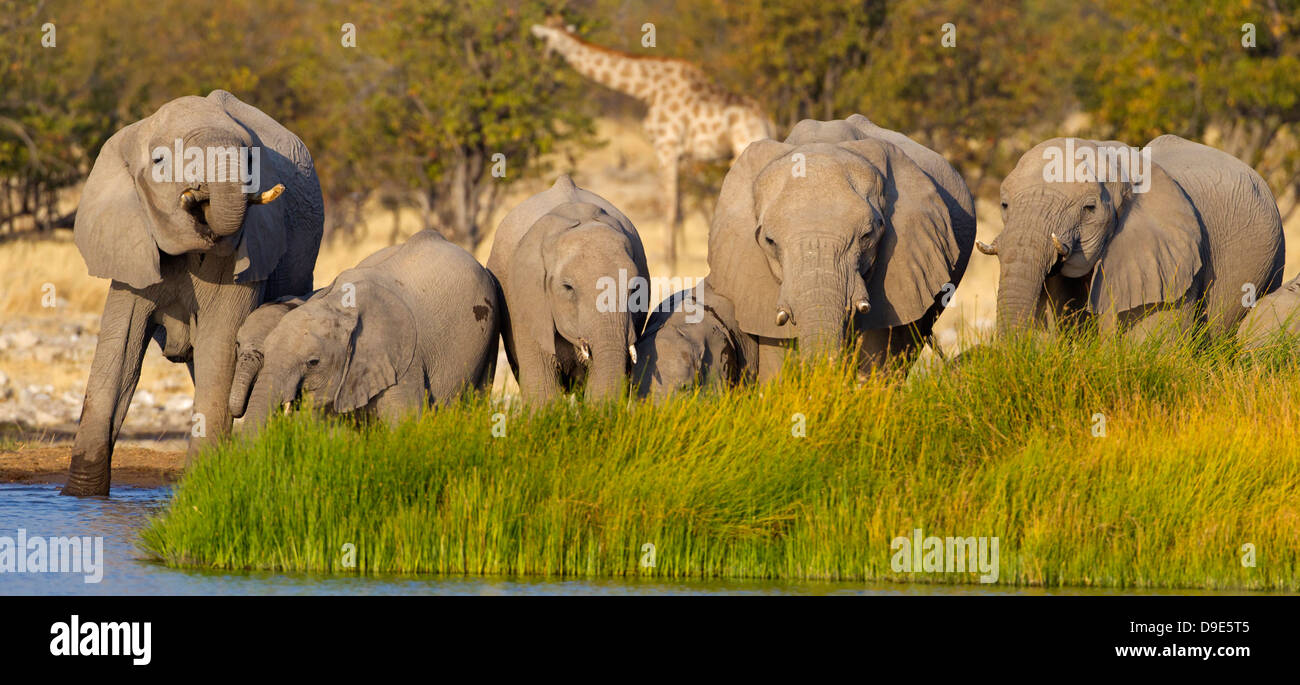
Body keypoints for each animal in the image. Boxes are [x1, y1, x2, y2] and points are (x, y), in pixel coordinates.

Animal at [64, 90, 323, 496]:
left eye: (251, 159)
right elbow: (119, 353)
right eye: (159, 160)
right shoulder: (131, 245)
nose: (196, 195)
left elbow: (219, 347)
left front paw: (205, 486)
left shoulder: (248, 249)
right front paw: (79, 496)